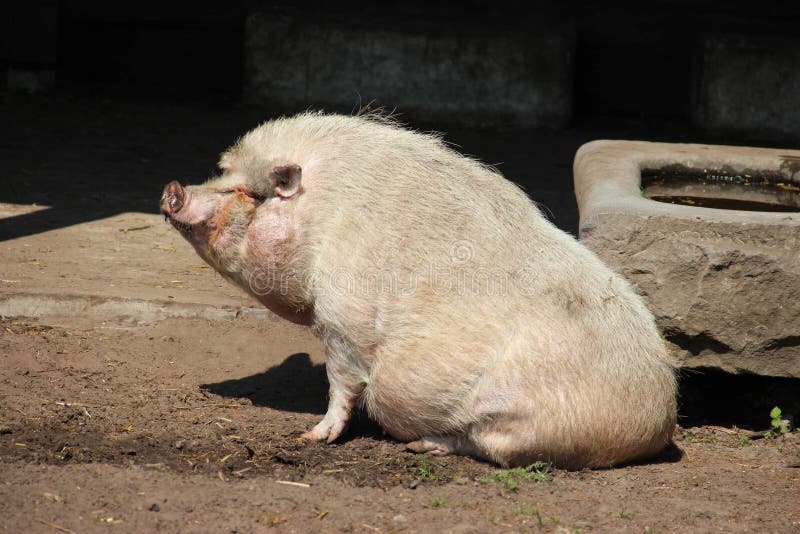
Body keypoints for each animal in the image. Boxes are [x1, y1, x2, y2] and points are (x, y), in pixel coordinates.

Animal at [160, 112, 677, 469]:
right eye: (222, 173)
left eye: (250, 194)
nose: (172, 189)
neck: (322, 220)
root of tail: (656, 420)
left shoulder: (342, 320)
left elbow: (342, 383)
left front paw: (312, 437)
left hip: (520, 426)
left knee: (478, 442)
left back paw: (422, 445)